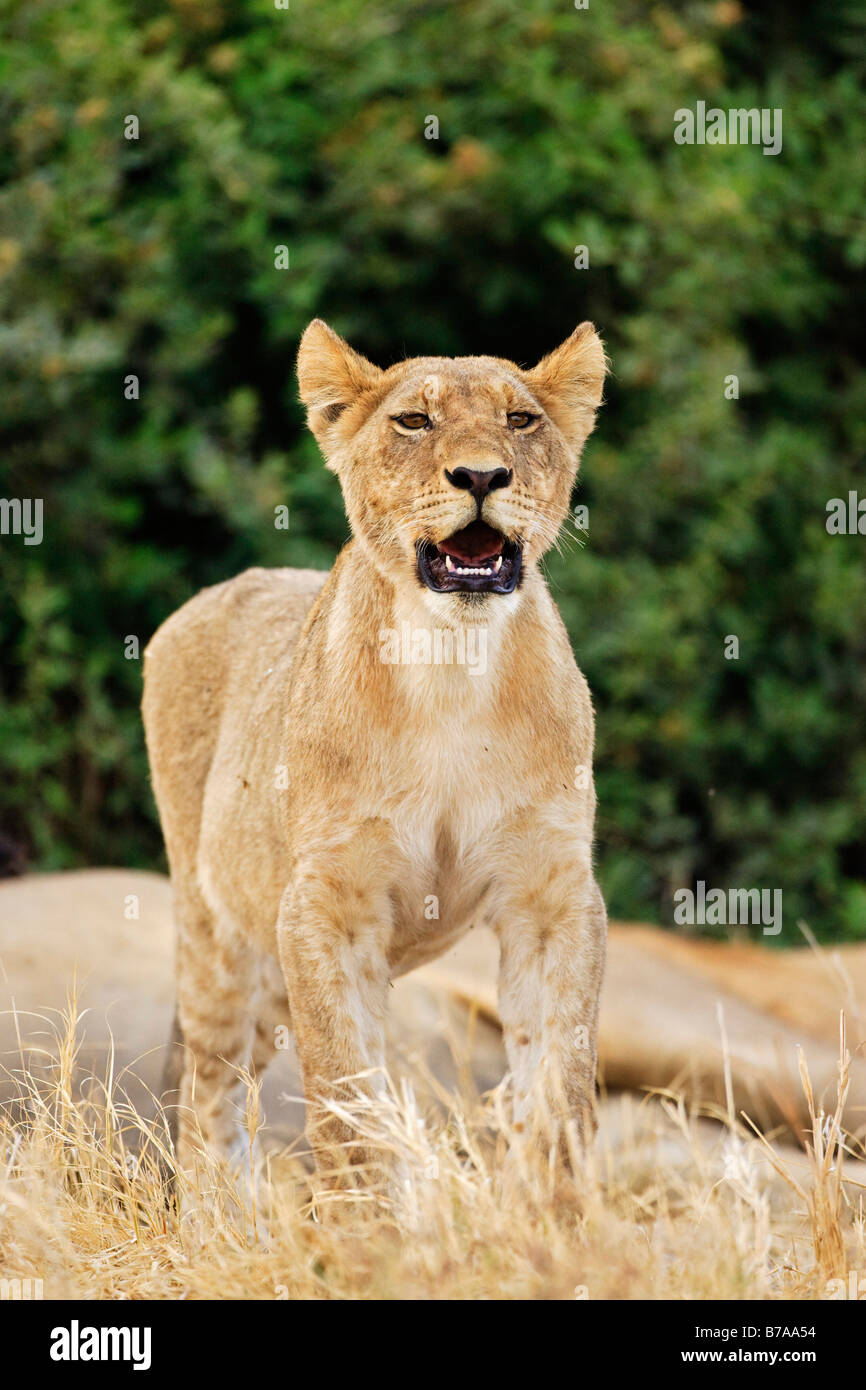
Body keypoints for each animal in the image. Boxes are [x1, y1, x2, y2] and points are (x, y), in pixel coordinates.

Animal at [142, 318, 608, 1181]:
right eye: (414, 421)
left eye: (521, 420)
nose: (483, 475)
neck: (453, 668)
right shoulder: (330, 905)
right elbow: (345, 1104)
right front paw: (369, 1217)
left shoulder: (552, 895)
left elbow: (561, 1086)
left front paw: (551, 1212)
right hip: (218, 935)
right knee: (206, 1108)